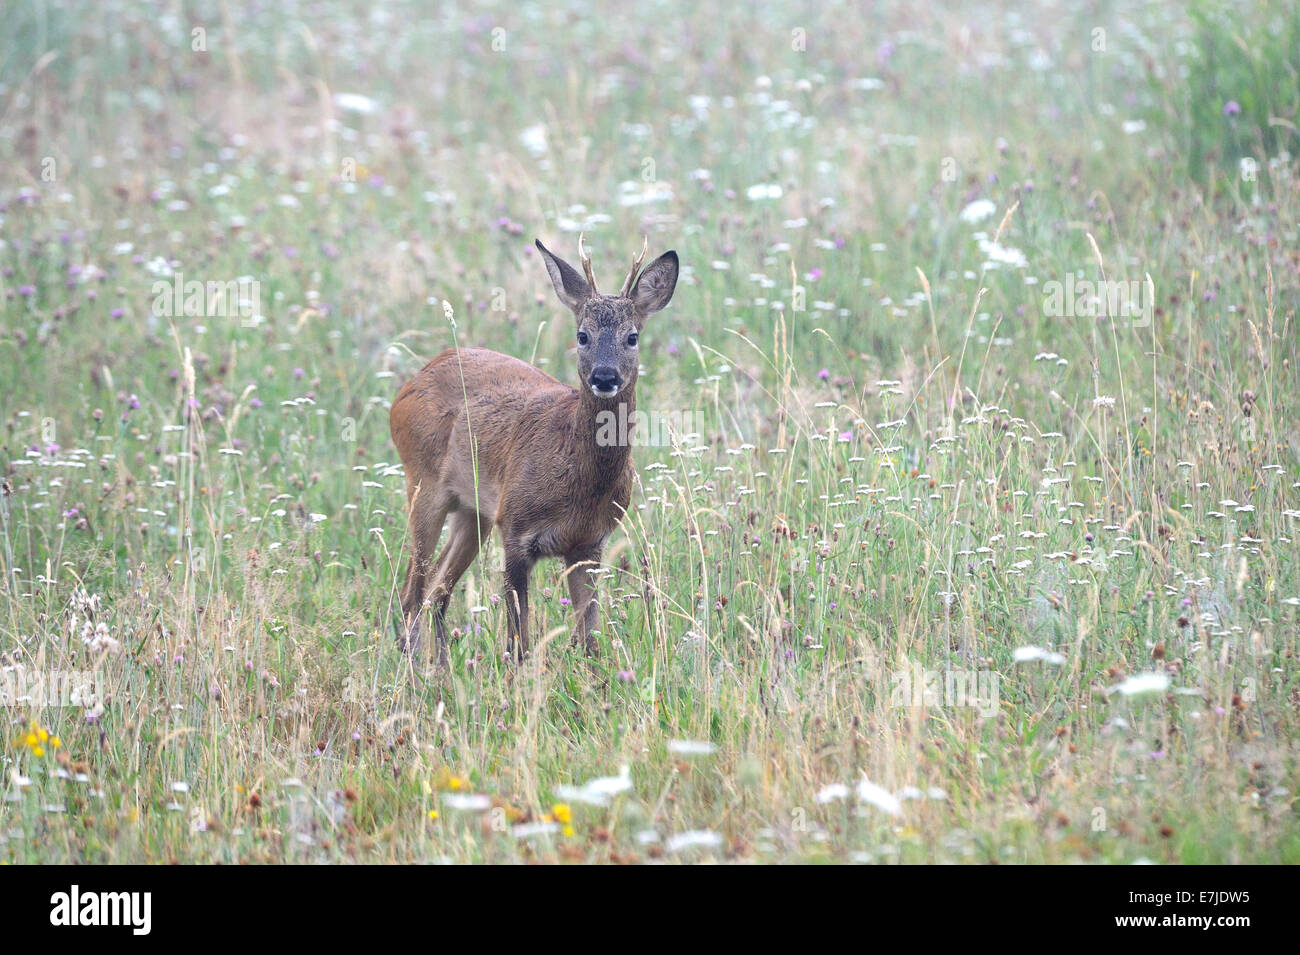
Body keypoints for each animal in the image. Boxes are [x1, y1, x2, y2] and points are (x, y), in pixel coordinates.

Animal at [389, 235, 679, 665]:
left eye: (632, 336)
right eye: (582, 335)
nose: (604, 376)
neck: (581, 484)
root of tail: (410, 384)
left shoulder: (588, 545)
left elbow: (590, 639)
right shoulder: (516, 530)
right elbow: (518, 644)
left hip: (475, 511)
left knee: (437, 590)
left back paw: (438, 669)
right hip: (423, 482)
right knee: (413, 592)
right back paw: (416, 671)